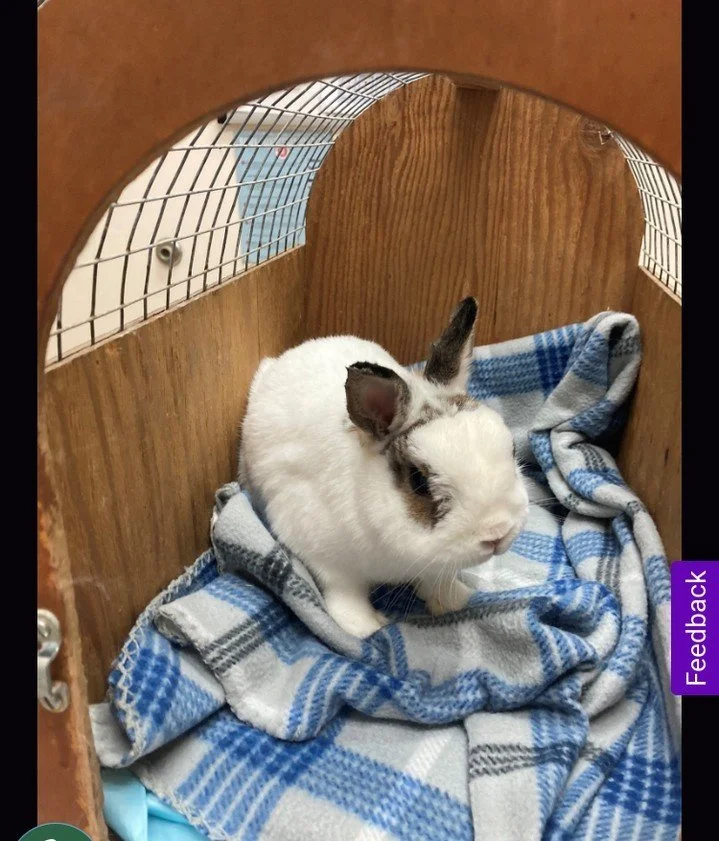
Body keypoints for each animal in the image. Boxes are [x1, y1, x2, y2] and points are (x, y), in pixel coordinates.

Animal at [239, 297, 529, 638]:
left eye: (512, 450)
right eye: (418, 481)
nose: (497, 533)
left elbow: (437, 580)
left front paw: (453, 601)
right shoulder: (320, 552)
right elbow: (343, 592)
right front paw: (364, 627)